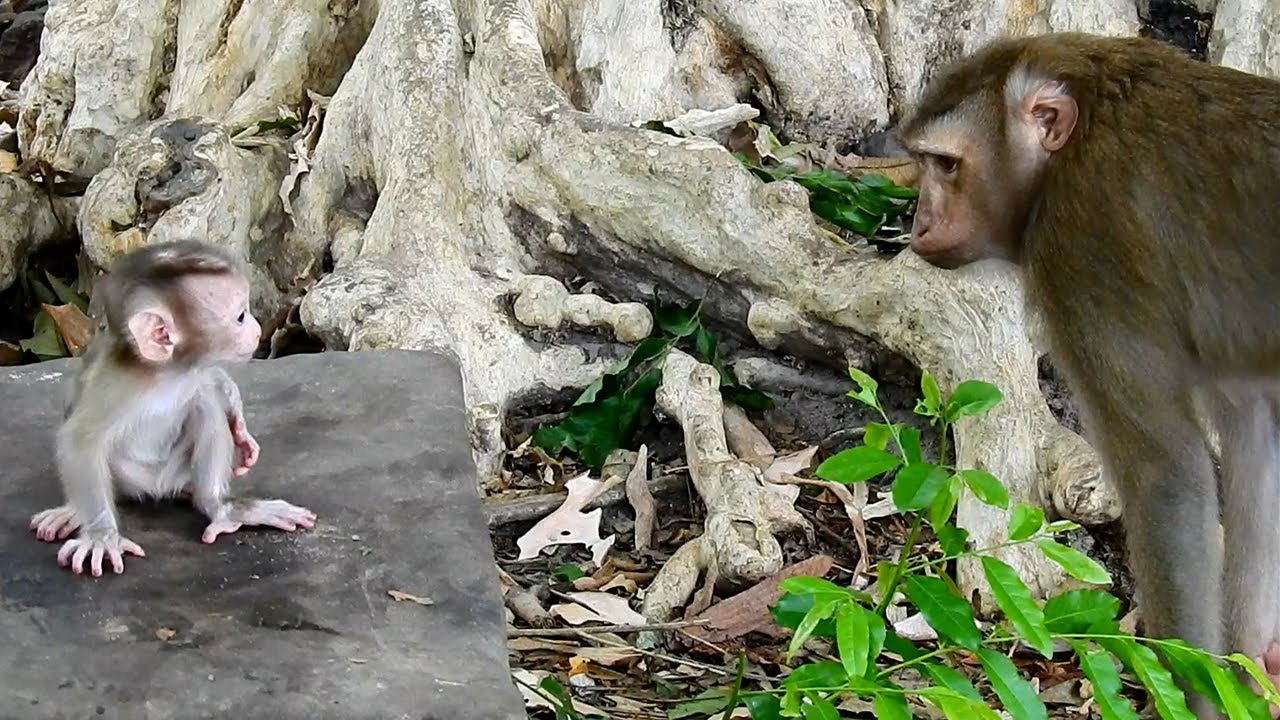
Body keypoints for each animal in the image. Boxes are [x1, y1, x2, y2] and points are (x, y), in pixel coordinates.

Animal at [28, 240, 316, 577]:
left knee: (204, 405)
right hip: (130, 477)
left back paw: (220, 506)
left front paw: (239, 423)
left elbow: (209, 382)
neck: (166, 374)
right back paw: (74, 512)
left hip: (178, 470)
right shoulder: (118, 386)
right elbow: (79, 441)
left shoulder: (191, 371)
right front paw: (101, 537)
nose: (258, 330)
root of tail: (160, 487)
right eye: (240, 316)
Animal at [896, 32, 1280, 714]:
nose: (918, 224)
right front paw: (1251, 676)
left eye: (945, 165)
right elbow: (1254, 434)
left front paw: (1199, 697)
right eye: (924, 163)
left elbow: (1165, 475)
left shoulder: (1081, 247)